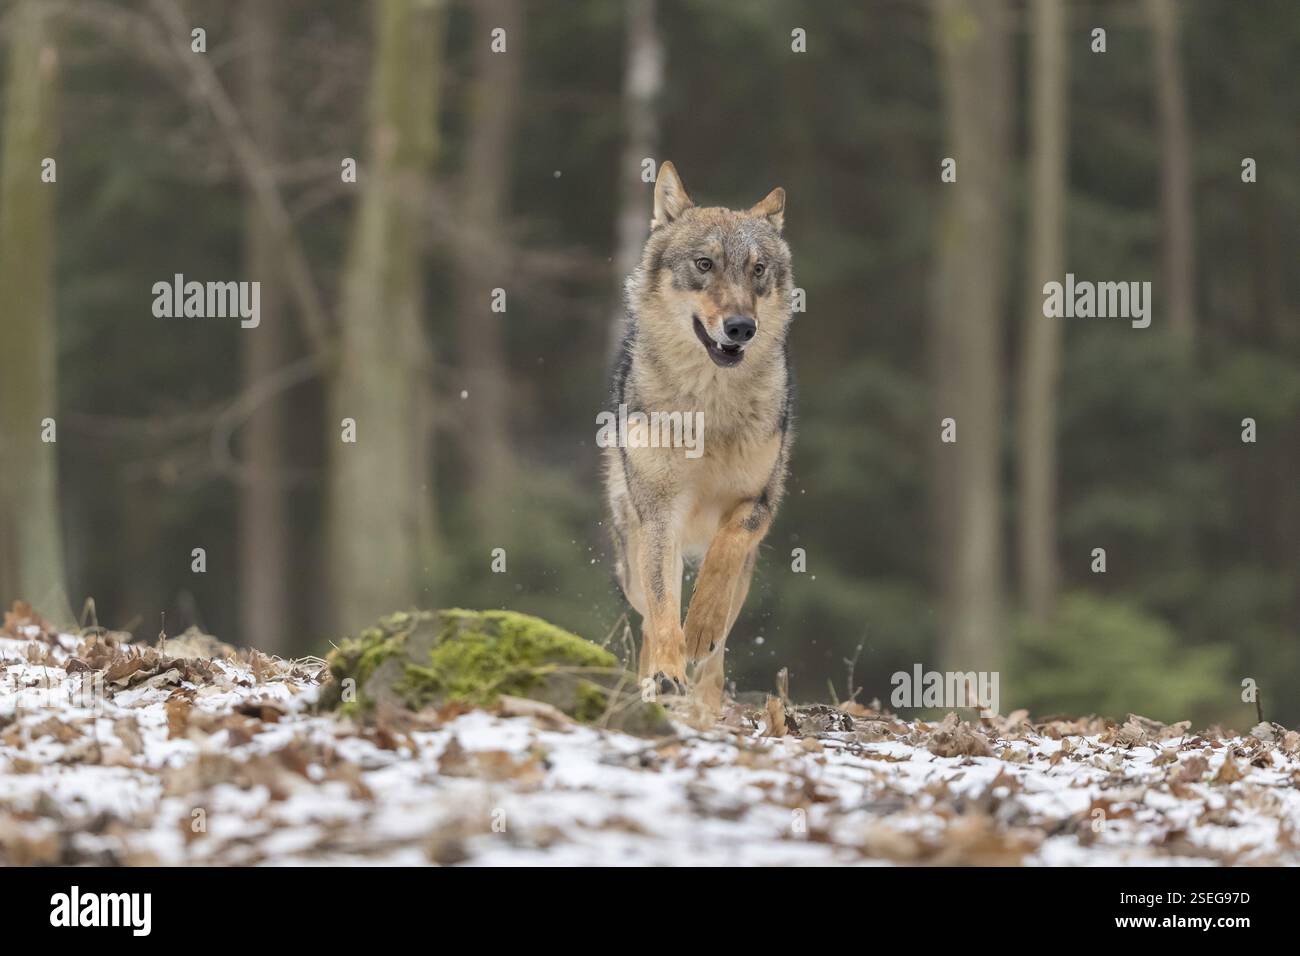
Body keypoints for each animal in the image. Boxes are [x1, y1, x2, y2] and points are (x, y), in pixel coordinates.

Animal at [605, 161, 794, 711]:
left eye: (757, 270)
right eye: (704, 264)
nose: (741, 327)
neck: (708, 409)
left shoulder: (761, 501)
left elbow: (723, 558)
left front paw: (701, 628)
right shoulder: (659, 510)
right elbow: (665, 609)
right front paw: (665, 674)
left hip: (747, 573)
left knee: (721, 640)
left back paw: (708, 698)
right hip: (631, 555)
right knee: (649, 614)